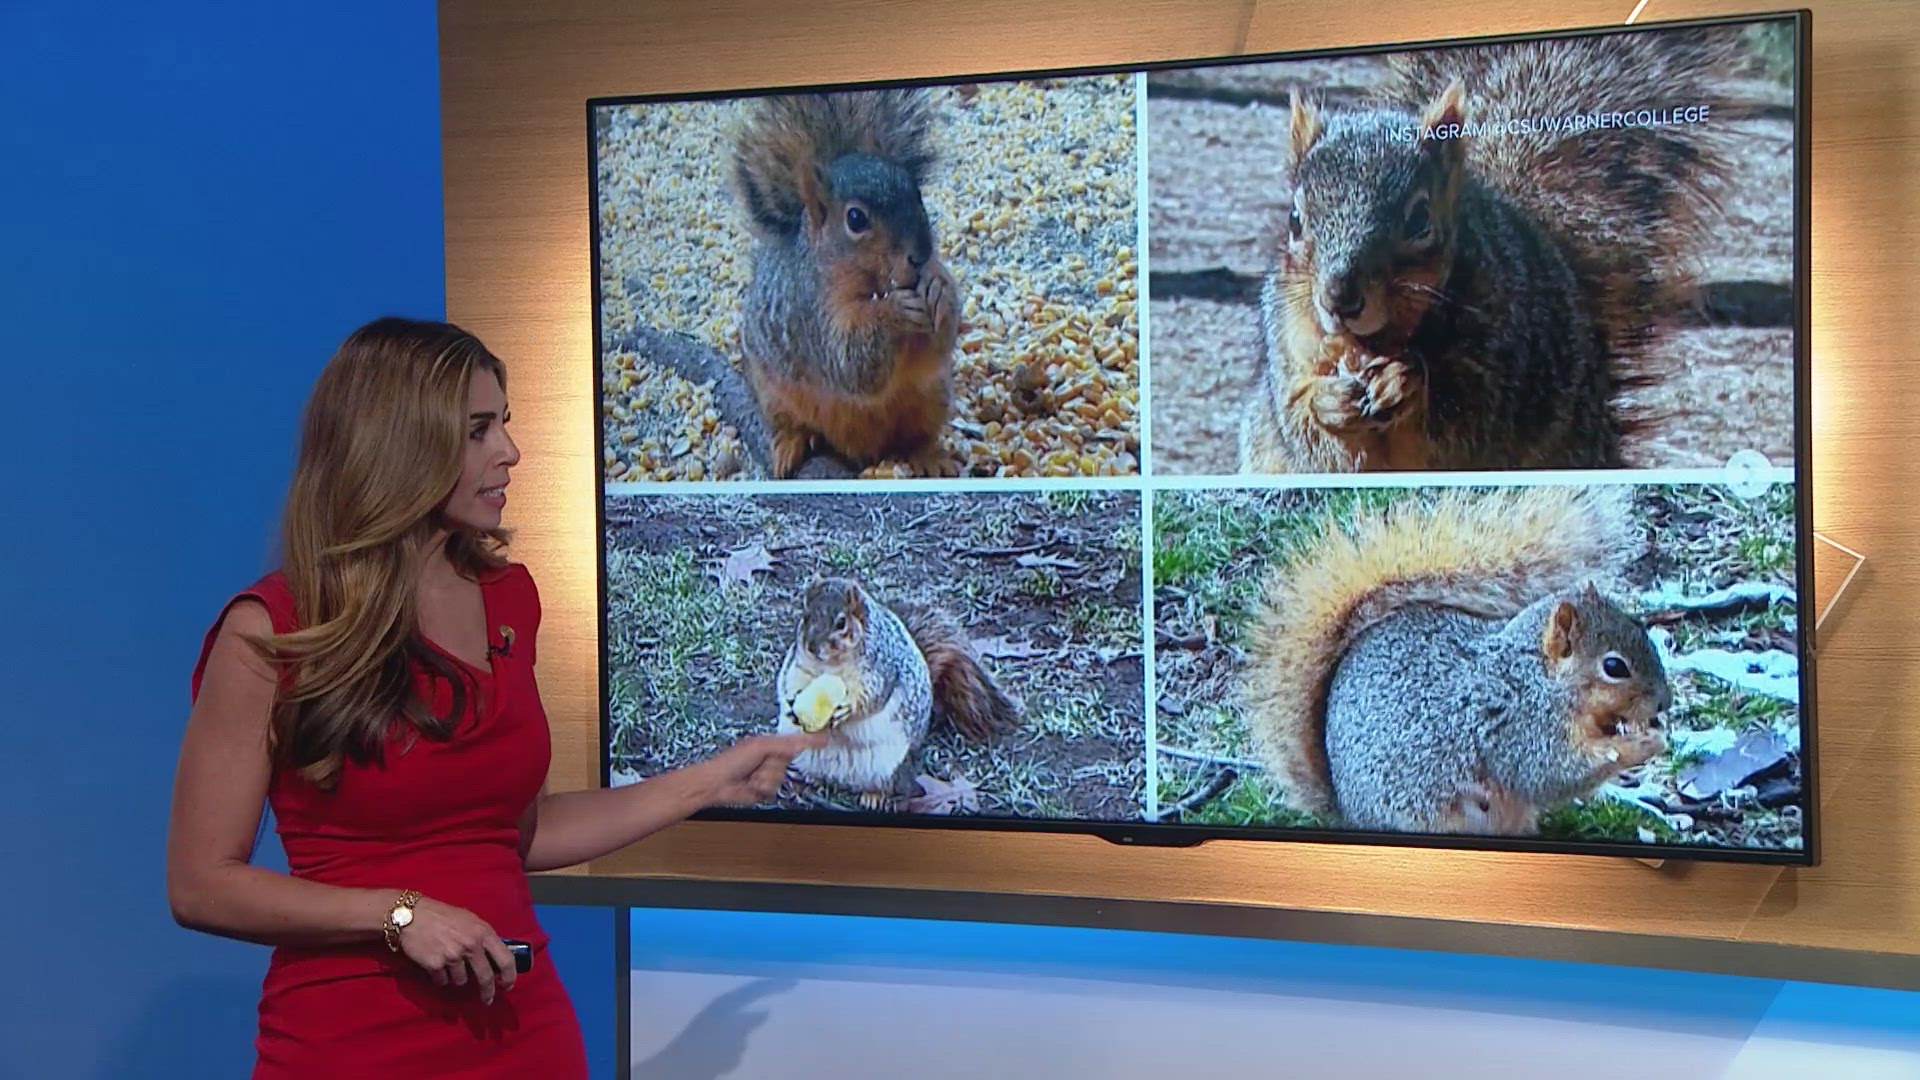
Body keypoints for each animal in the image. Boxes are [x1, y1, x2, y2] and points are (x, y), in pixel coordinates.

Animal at [733, 89, 962, 480]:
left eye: (916, 194)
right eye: (855, 219)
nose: (921, 255)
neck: (870, 280)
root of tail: (866, 451)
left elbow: (937, 347)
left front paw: (938, 288)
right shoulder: (808, 309)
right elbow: (848, 360)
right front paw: (893, 311)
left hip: (932, 397)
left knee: (916, 438)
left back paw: (930, 457)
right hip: (772, 392)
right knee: (790, 422)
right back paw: (790, 444)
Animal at [774, 576, 1019, 810]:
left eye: (841, 623)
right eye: (805, 616)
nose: (812, 647)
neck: (831, 665)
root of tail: (843, 779)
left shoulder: (880, 670)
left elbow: (870, 696)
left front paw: (847, 708)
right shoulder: (800, 665)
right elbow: (792, 680)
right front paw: (792, 702)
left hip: (889, 766)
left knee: (888, 785)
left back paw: (874, 797)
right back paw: (808, 777)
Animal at [1238, 30, 1736, 473]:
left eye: (1419, 220)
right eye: (1294, 220)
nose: (1339, 299)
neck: (1378, 341)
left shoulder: (1503, 353)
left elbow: (1462, 418)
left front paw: (1406, 382)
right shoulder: (1287, 340)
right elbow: (1306, 432)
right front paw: (1327, 403)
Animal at [1242, 485, 1673, 836]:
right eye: (1614, 667)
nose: (1664, 704)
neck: (1538, 677)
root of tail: (1347, 815)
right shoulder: (1519, 727)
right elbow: (1549, 773)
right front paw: (1642, 744)